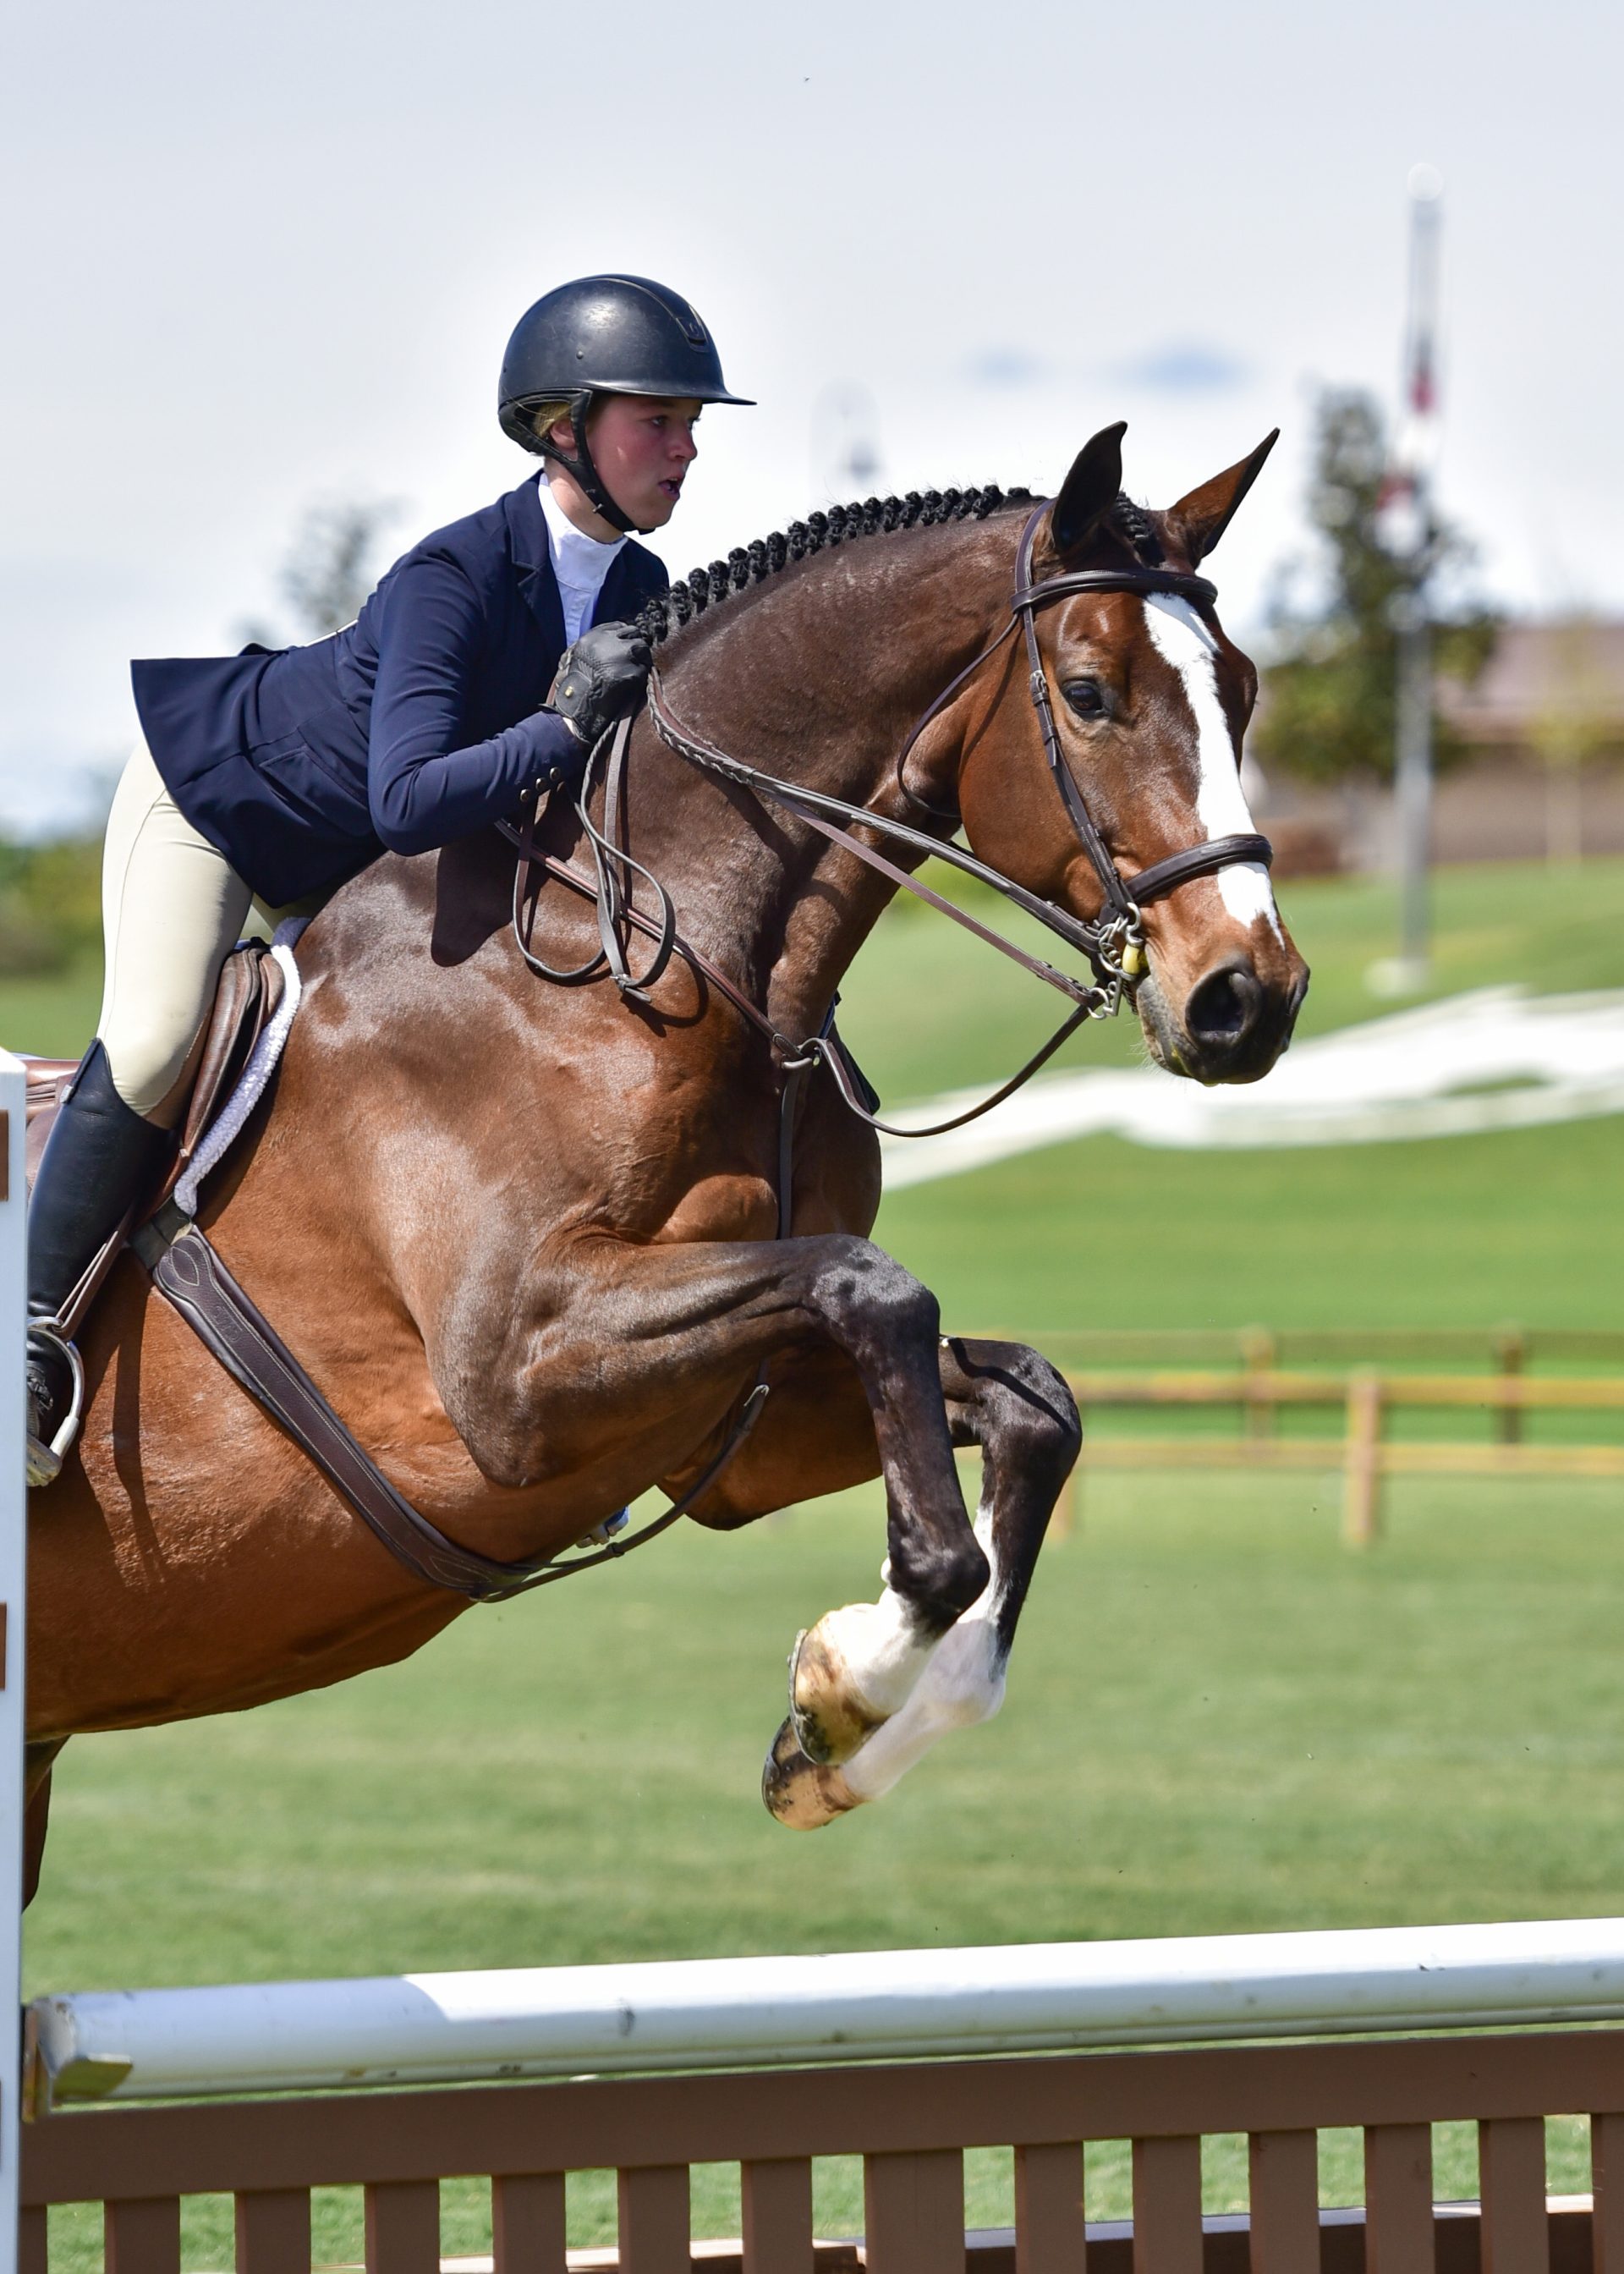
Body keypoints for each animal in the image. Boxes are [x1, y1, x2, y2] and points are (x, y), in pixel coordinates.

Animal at [22, 423, 1308, 1903]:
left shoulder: (734, 1422)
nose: (1251, 999)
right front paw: (855, 1676)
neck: (657, 959)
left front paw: (832, 1735)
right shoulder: (517, 1372)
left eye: (1244, 690)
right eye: (1091, 695)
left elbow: (1029, 1402)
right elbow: (880, 1294)